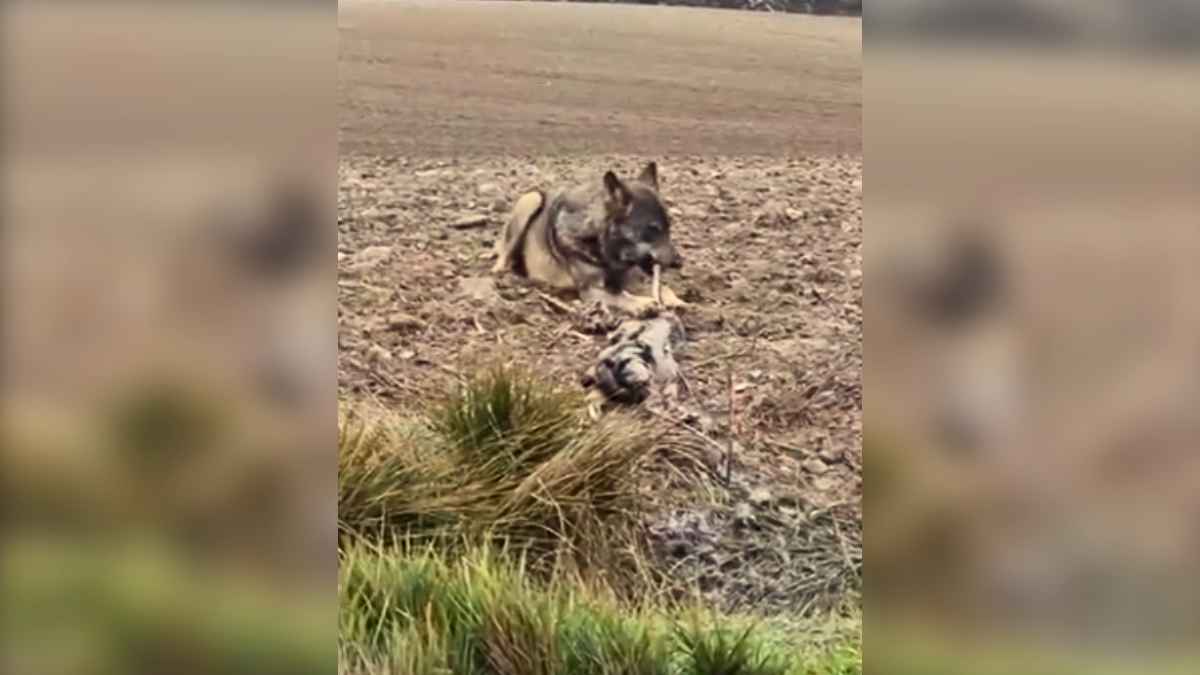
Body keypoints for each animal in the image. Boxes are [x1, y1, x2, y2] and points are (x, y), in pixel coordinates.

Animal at [491, 161, 687, 316]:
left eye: (669, 227)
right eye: (652, 229)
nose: (679, 262)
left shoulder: (631, 279)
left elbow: (663, 288)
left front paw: (674, 300)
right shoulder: (592, 289)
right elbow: (618, 295)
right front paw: (642, 303)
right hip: (531, 199)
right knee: (503, 258)